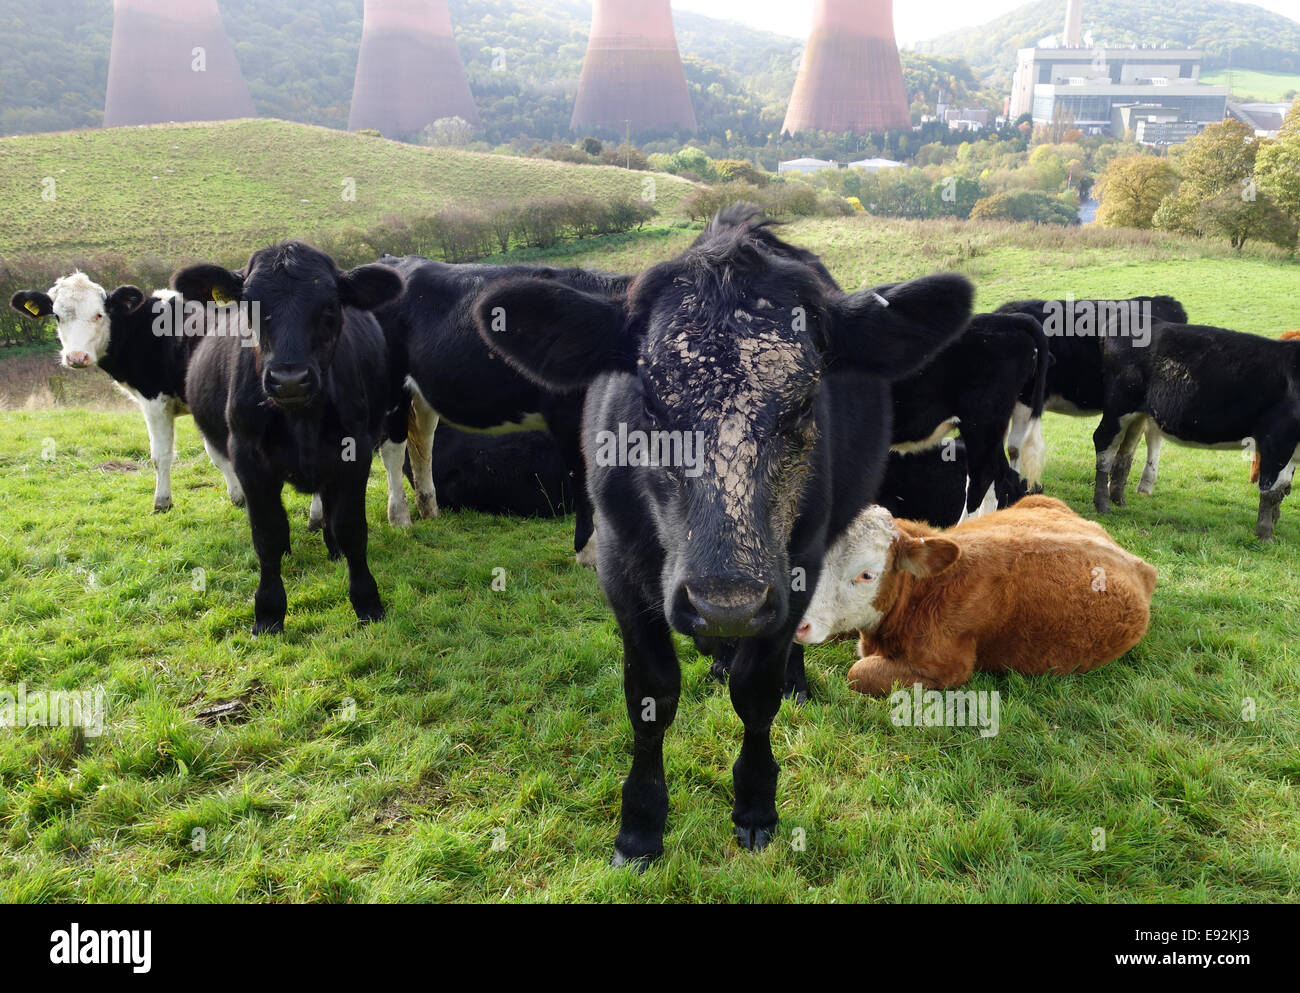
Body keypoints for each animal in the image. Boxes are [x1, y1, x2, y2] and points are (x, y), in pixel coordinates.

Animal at [10, 272, 244, 512]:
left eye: (99, 314)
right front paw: (238, 496)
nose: (76, 357)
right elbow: (217, 454)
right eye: (57, 316)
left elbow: (161, 455)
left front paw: (162, 502)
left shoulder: (155, 400)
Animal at [174, 242, 404, 633]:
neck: (301, 418)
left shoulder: (354, 452)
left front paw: (367, 601)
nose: (290, 380)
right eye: (249, 305)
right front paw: (268, 612)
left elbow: (351, 528)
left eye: (330, 306)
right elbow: (268, 534)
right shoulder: (248, 458)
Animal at [371, 256, 633, 566]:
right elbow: (583, 482)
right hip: (392, 386)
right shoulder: (568, 416)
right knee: (393, 448)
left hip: (422, 394)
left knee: (422, 442)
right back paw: (400, 519)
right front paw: (588, 553)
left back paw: (429, 509)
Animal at [473, 206, 973, 864]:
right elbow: (651, 697)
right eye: (651, 402)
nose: (726, 603)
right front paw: (641, 824)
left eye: (804, 402)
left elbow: (756, 692)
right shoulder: (618, 562)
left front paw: (756, 803)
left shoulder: (796, 567)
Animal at [1083, 320, 1300, 540]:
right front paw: (1265, 534)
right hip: (1119, 407)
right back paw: (1102, 505)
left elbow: (1282, 489)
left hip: (1135, 414)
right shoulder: (1277, 440)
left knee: (1124, 451)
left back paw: (1119, 501)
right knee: (1104, 445)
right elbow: (1271, 491)